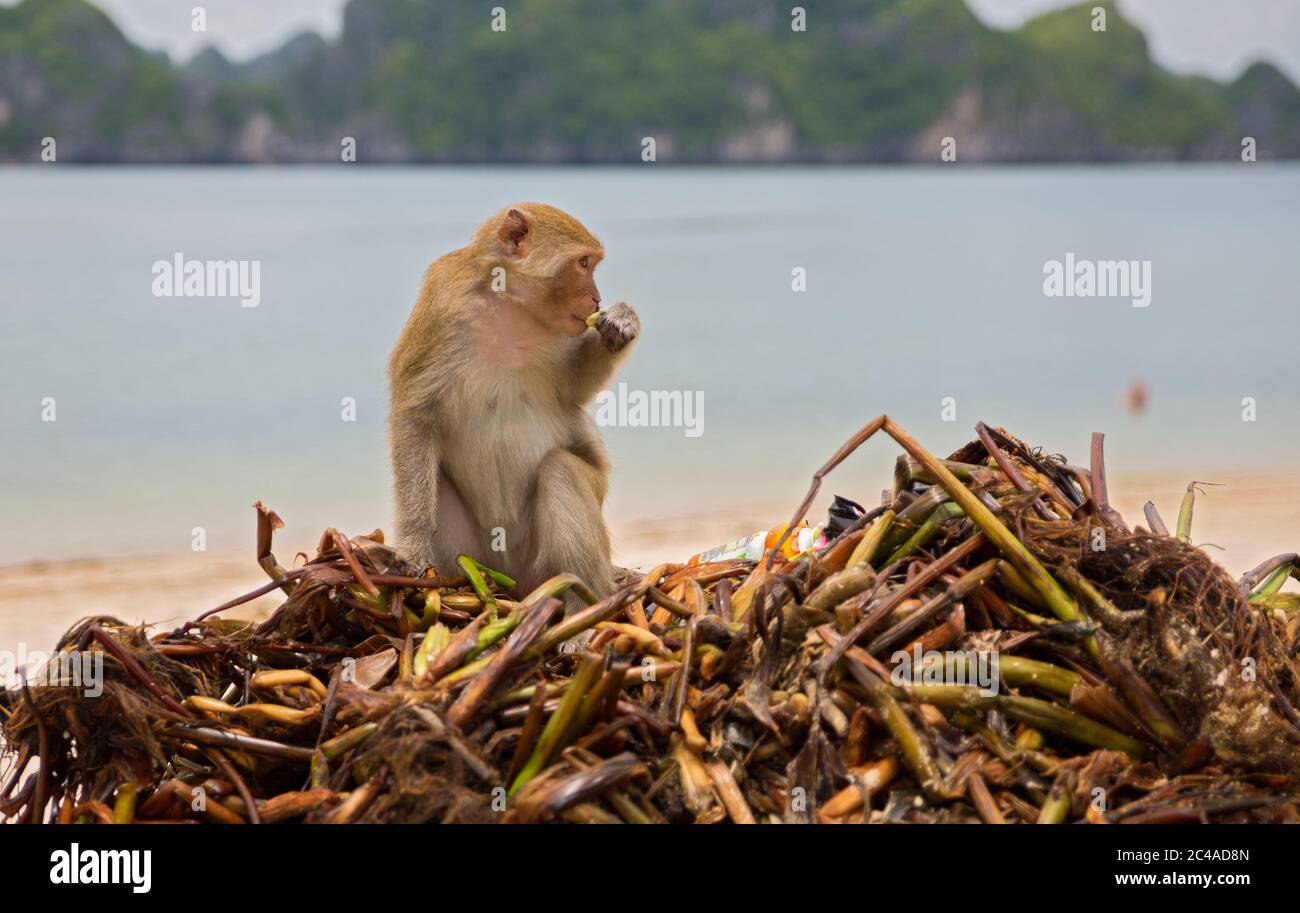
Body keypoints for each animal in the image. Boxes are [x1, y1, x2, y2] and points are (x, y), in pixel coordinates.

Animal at [387, 203, 639, 608]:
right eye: (583, 262)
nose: (597, 300)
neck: (509, 305)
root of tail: (515, 583)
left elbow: (573, 391)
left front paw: (621, 322)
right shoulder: (442, 304)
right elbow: (414, 413)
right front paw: (412, 547)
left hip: (540, 560)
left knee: (559, 470)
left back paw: (585, 607)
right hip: (475, 558)